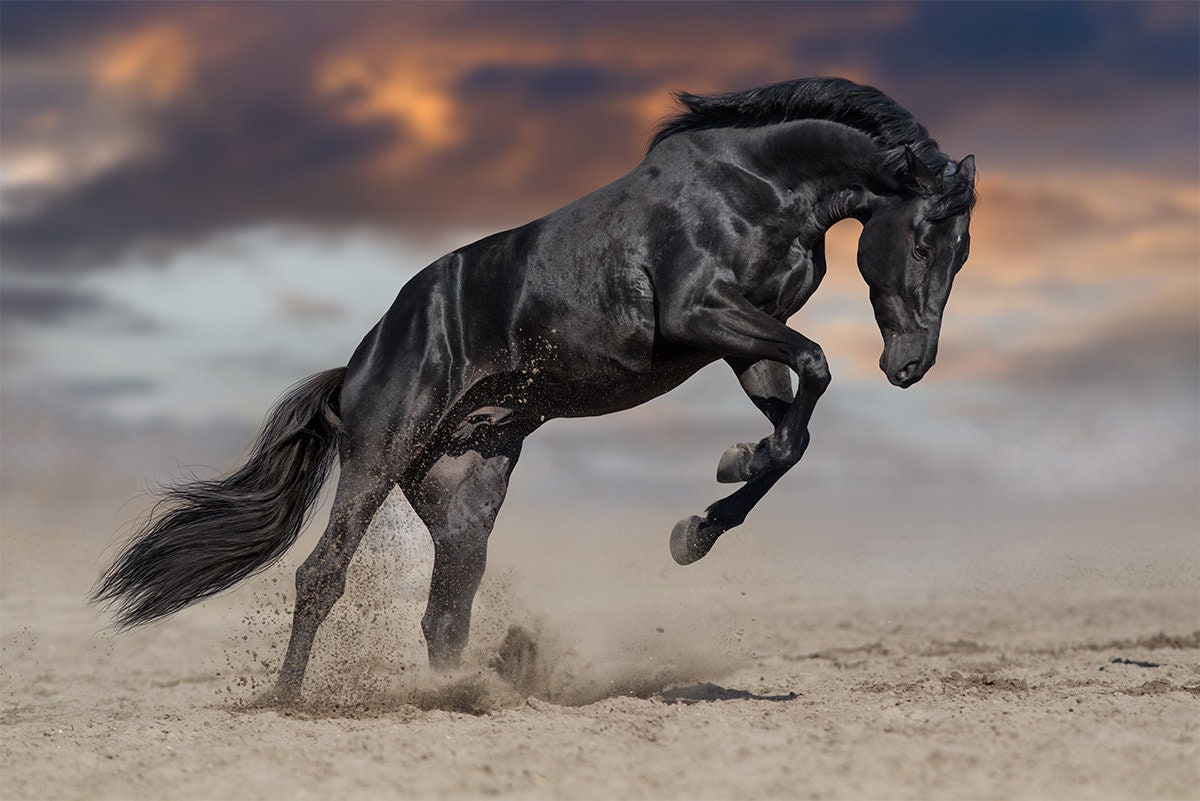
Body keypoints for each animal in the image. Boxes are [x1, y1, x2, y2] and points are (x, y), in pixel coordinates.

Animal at [93, 77, 976, 703]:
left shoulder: (742, 341)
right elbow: (817, 370)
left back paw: (465, 691)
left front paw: (703, 516)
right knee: (323, 574)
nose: (911, 364)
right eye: (925, 240)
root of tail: (358, 363)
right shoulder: (706, 313)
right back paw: (287, 699)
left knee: (446, 609)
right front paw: (714, 496)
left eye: (963, 251)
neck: (754, 186)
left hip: (466, 490)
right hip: (380, 455)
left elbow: (793, 431)